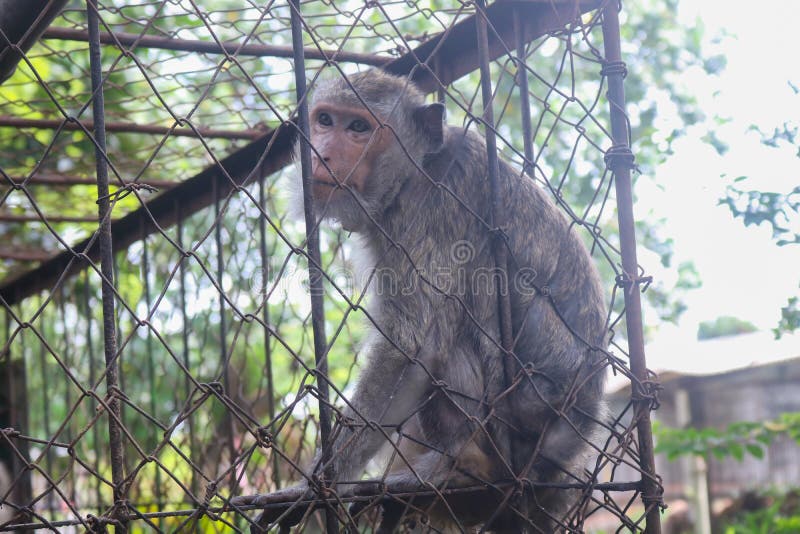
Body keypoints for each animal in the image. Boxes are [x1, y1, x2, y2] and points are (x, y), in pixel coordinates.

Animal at [235, 69, 608, 532]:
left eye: (358, 127)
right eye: (324, 120)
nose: (322, 154)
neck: (416, 171)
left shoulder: (432, 209)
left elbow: (411, 350)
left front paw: (315, 489)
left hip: (519, 425)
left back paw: (463, 472)